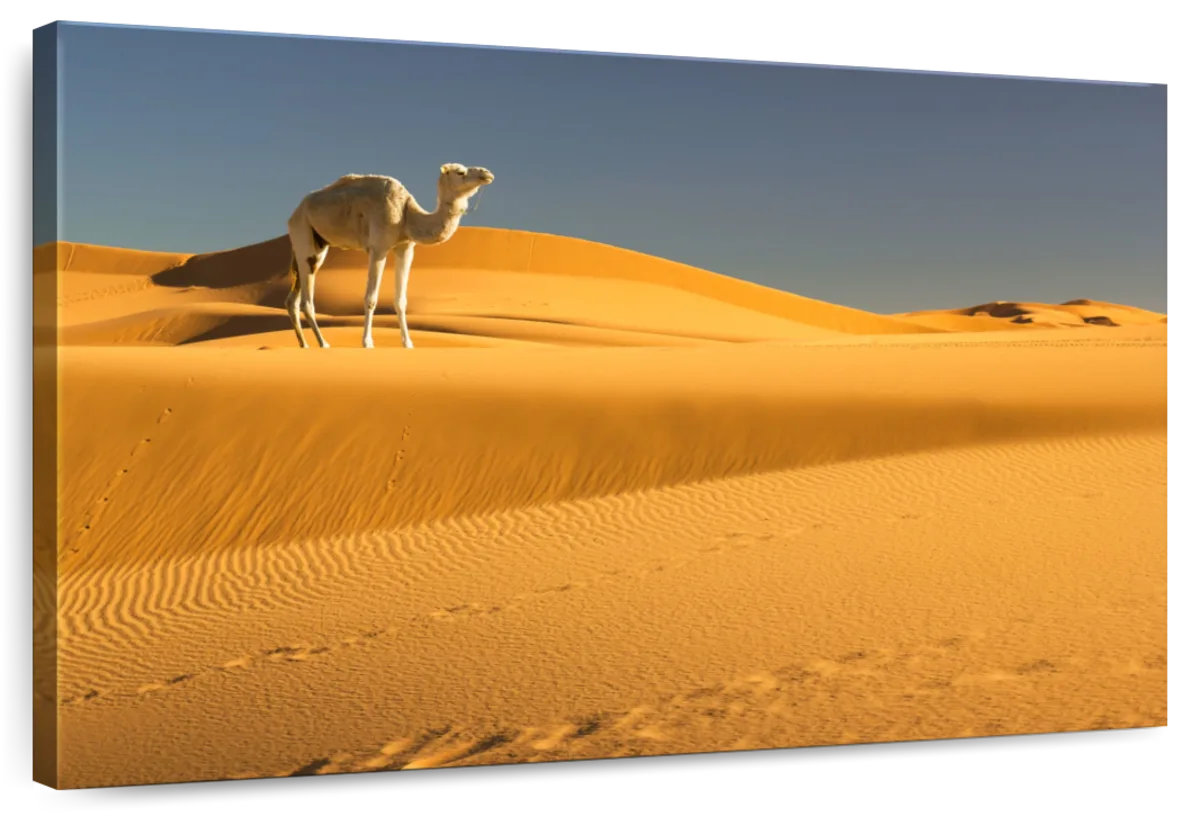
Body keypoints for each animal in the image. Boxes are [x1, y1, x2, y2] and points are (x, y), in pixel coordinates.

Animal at [285, 163, 494, 349]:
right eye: (460, 172)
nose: (487, 173)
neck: (407, 215)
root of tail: (294, 213)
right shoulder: (378, 247)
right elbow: (370, 298)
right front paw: (367, 342)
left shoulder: (405, 247)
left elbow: (401, 300)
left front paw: (408, 343)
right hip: (304, 232)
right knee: (306, 300)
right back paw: (323, 343)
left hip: (315, 244)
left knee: (293, 299)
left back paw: (304, 344)